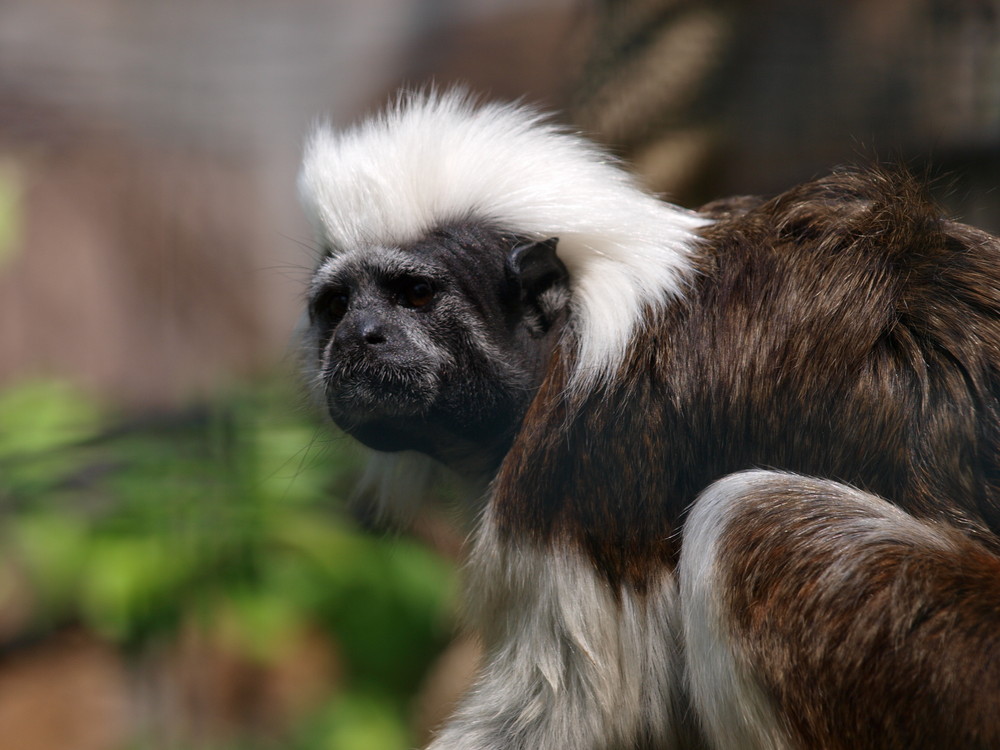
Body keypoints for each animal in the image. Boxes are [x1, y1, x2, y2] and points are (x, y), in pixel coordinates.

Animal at [297, 90, 1000, 750]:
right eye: (336, 307)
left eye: (415, 294)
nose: (359, 337)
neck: (572, 329)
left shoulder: (583, 454)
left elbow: (577, 710)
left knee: (752, 515)